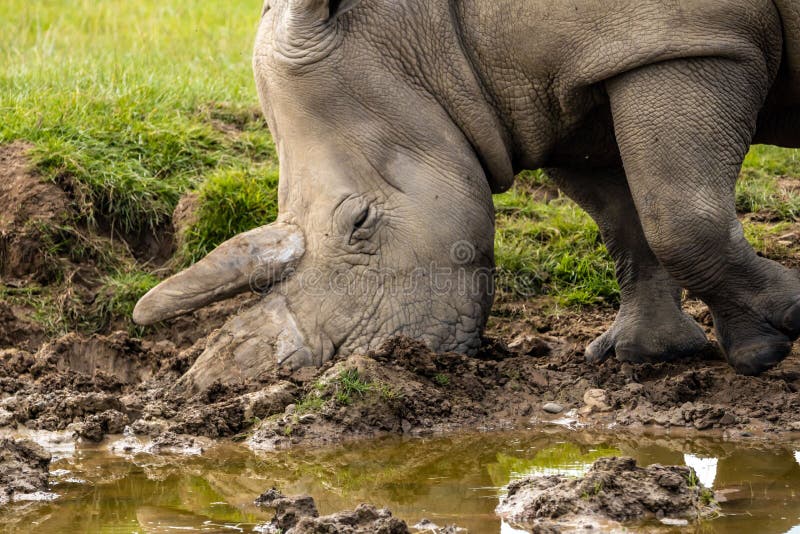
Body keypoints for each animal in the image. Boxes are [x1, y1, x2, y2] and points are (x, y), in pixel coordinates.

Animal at [134, 0, 800, 388]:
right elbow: (629, 221)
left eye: (361, 221)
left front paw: (778, 332)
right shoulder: (569, 87)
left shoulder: (690, 38)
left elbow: (677, 215)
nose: (210, 388)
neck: (429, 33)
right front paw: (654, 355)